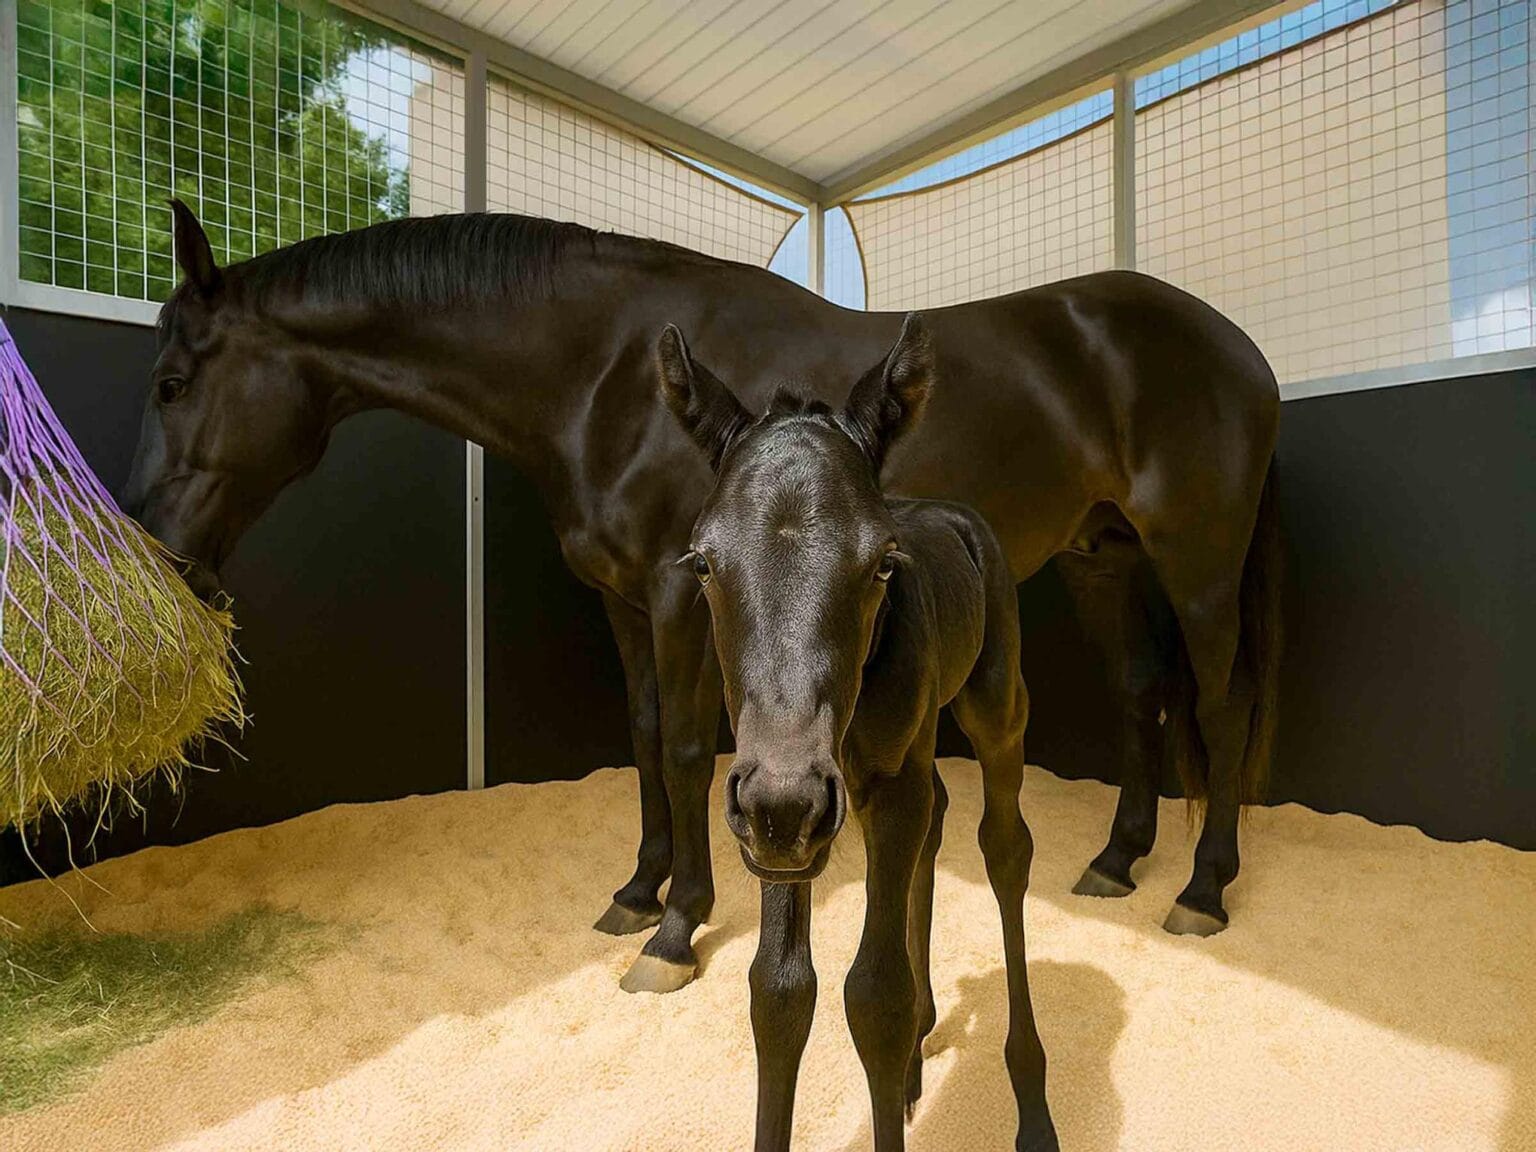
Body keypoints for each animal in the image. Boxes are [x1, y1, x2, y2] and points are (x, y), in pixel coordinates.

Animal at [124, 201, 1280, 994]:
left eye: (173, 384)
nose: (159, 549)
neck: (607, 372)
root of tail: (1239, 351)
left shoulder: (683, 600)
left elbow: (685, 747)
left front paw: (678, 930)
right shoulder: (628, 606)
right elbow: (643, 737)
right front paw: (635, 893)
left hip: (1198, 562)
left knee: (1221, 707)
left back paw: (1203, 889)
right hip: (1106, 561)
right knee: (1142, 696)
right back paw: (1119, 860)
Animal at [656, 315, 1057, 1152]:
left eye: (880, 564)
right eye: (703, 563)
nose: (786, 802)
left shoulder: (872, 787)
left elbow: (876, 996)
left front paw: (901, 1037)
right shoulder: (777, 817)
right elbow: (777, 992)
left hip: (997, 705)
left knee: (1004, 848)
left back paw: (1032, 1104)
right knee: (937, 824)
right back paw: (917, 1060)